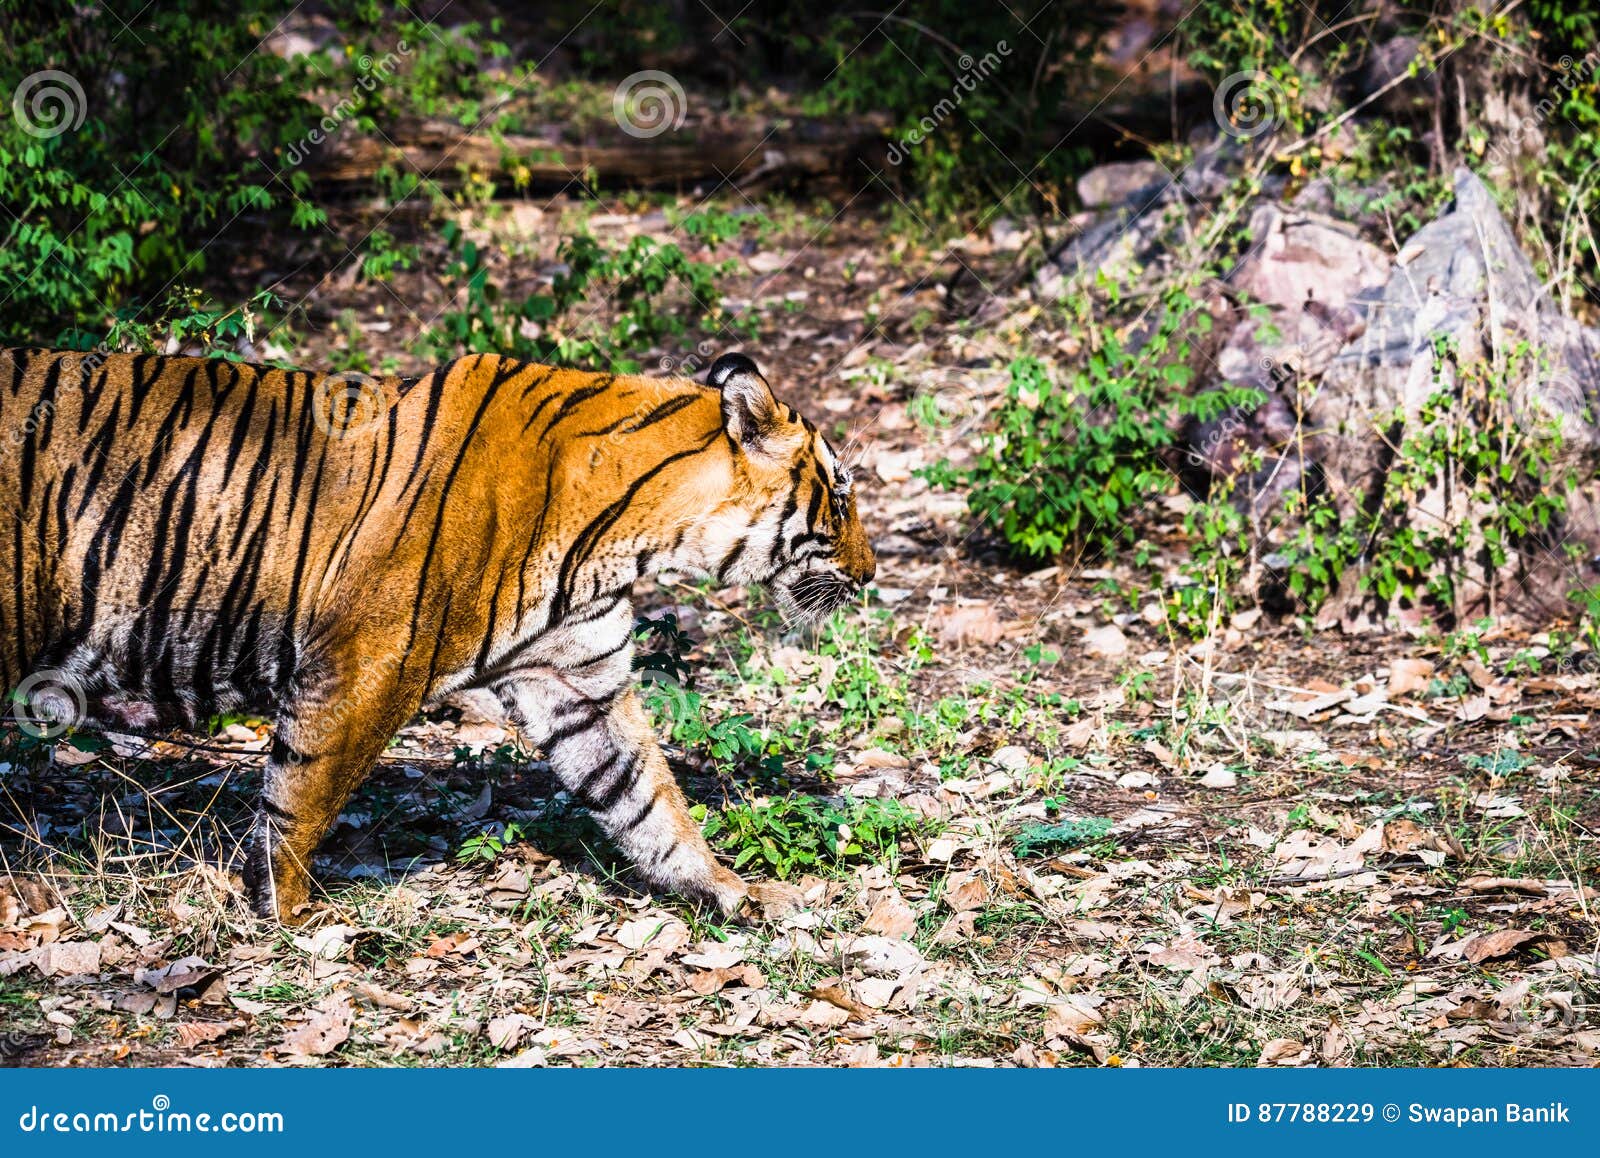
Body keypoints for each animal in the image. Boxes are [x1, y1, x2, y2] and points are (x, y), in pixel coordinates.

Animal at [0, 347, 875, 921]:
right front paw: (286, 913)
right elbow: (302, 796)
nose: (870, 575)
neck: (632, 530)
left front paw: (723, 889)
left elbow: (646, 796)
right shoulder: (365, 663)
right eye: (839, 497)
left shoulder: (577, 680)